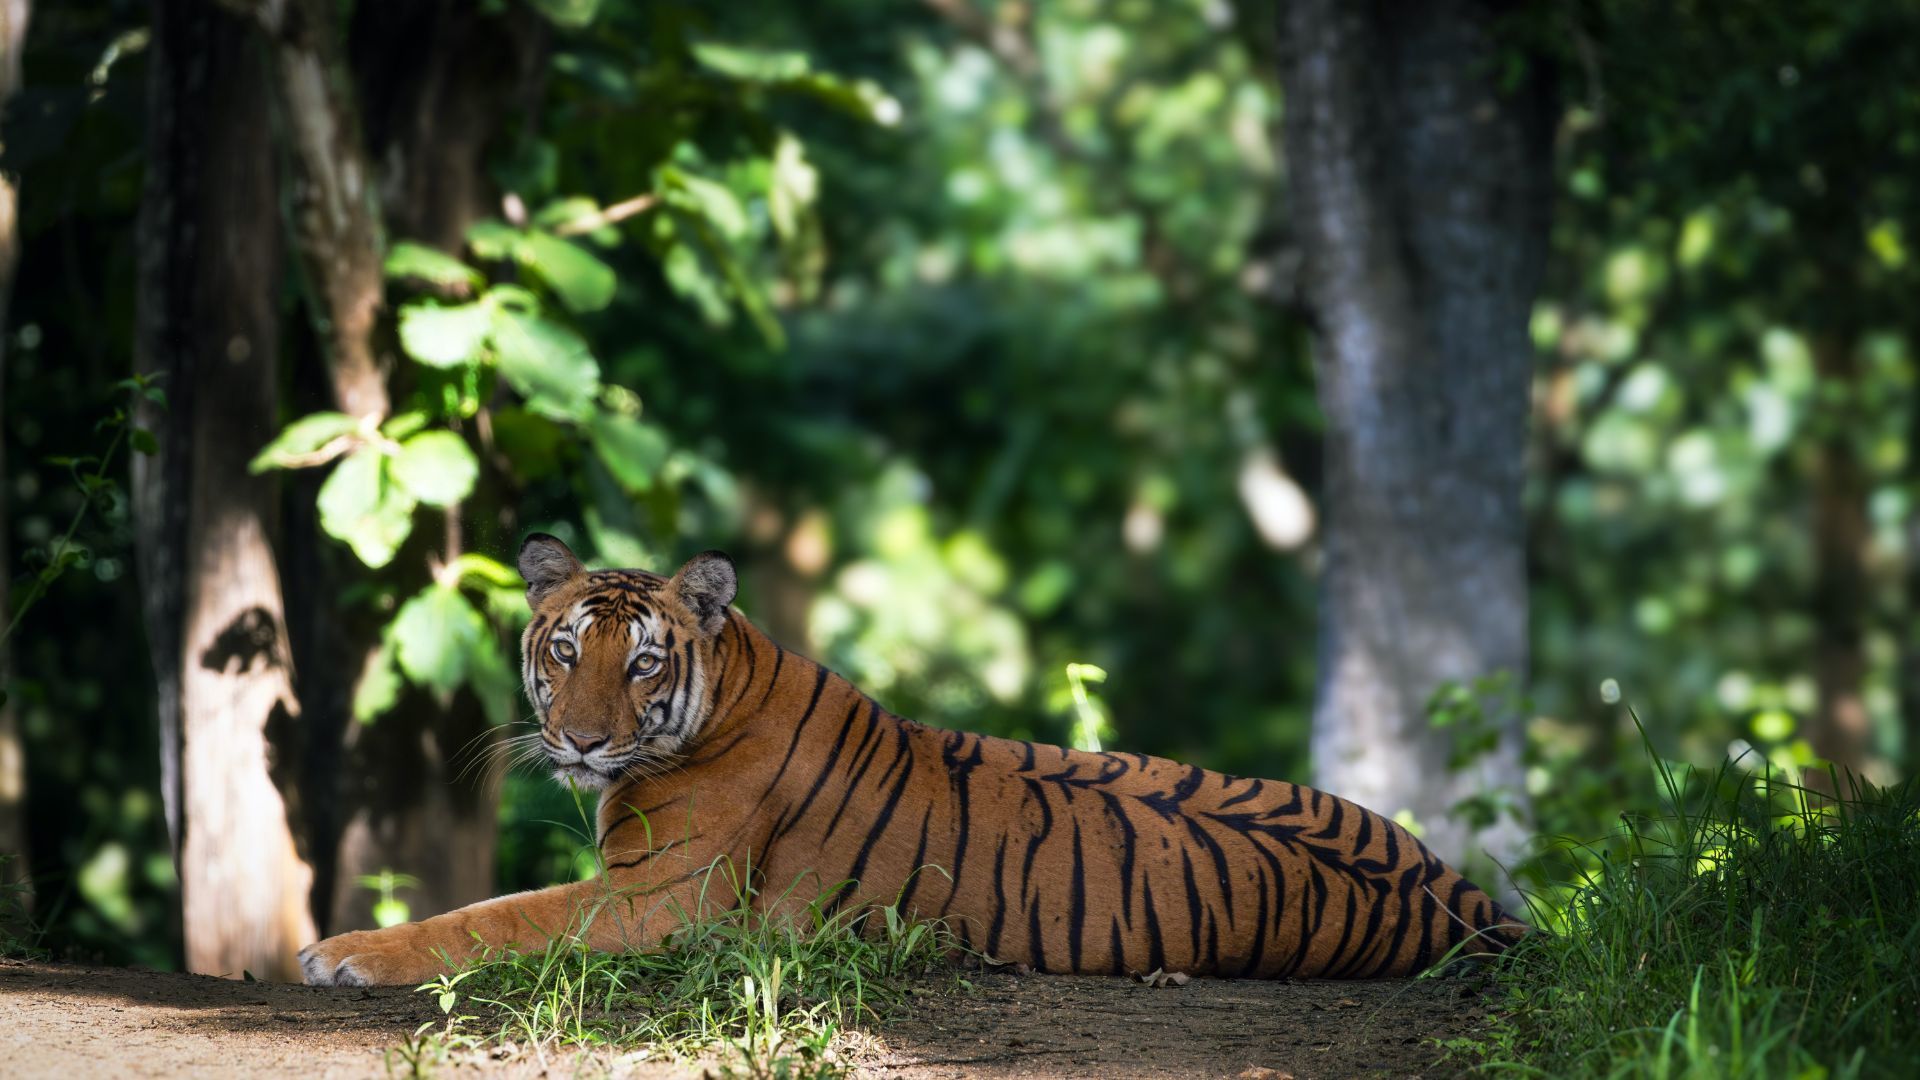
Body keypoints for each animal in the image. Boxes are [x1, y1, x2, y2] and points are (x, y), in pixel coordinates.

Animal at [298, 535, 1525, 986]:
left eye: (642, 663)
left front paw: (342, 954)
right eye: (566, 651)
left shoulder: (661, 898)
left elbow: (490, 917)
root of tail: (1465, 898)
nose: (585, 740)